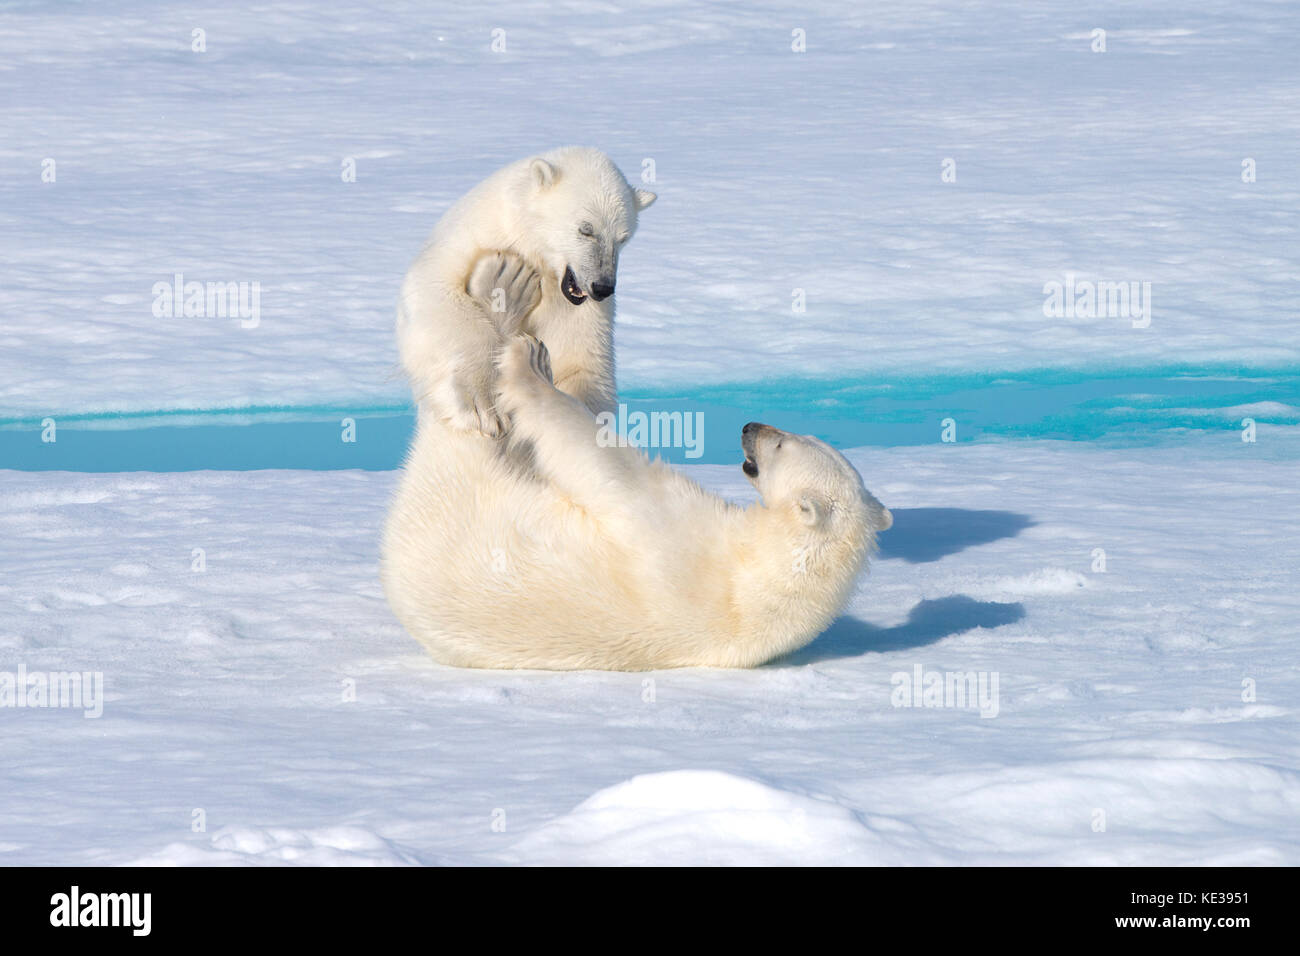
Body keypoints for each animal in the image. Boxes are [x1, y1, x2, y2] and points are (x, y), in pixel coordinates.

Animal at [381, 261, 892, 670]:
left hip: (466, 486)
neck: (759, 577)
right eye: (802, 435)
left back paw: (507, 294)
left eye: (782, 444)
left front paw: (533, 367)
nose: (750, 426)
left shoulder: (673, 529)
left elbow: (598, 459)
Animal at [396, 147, 656, 437]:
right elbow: (435, 291)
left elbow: (582, 362)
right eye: (586, 230)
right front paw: (483, 405)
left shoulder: (577, 307)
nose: (602, 287)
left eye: (623, 238)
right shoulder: (479, 236)